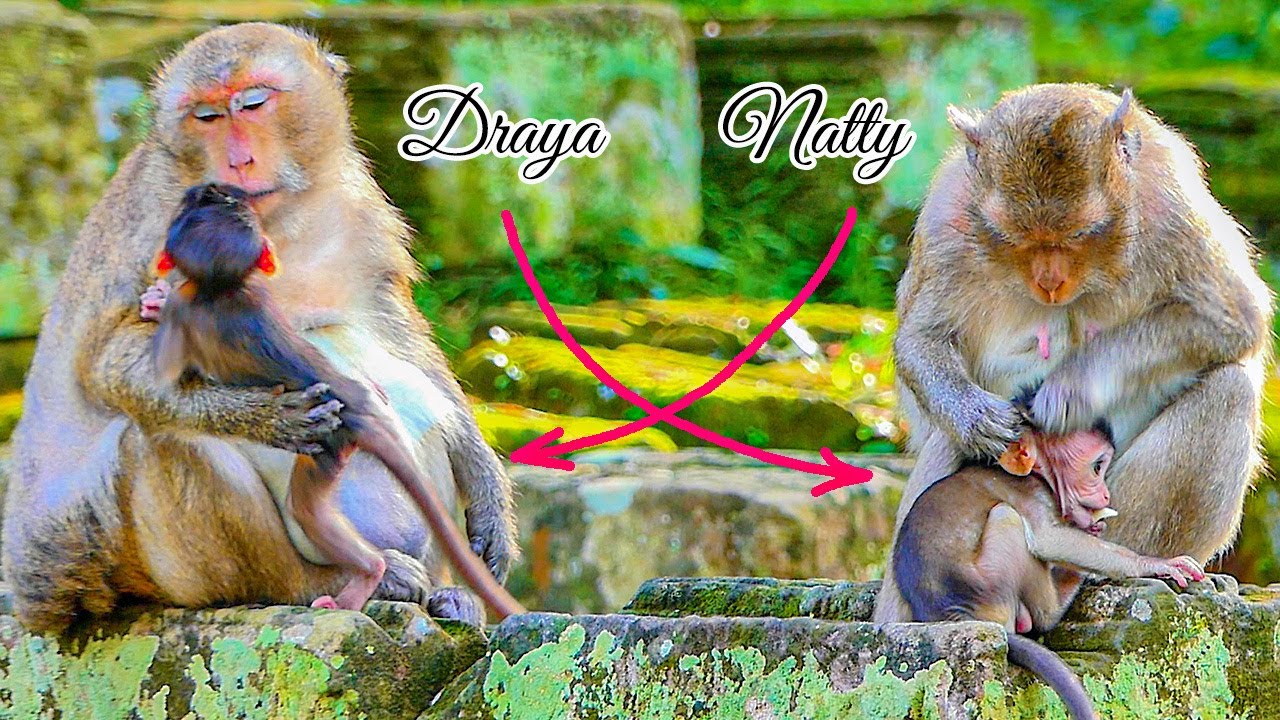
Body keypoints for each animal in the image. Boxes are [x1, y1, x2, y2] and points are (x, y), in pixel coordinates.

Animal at [875, 83, 1273, 624]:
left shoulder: (1171, 210)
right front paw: (975, 416)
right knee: (949, 442)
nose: (1050, 281)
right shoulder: (947, 223)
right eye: (1016, 238)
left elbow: (1231, 317)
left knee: (1228, 388)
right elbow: (922, 340)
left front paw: (1070, 390)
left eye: (1081, 234)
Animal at [894, 425, 1205, 720]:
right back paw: (1061, 596)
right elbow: (1047, 539)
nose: (1106, 493)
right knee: (1007, 517)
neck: (1039, 475)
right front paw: (1152, 563)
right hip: (990, 585)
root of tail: (954, 615)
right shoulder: (1033, 494)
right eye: (1097, 467)